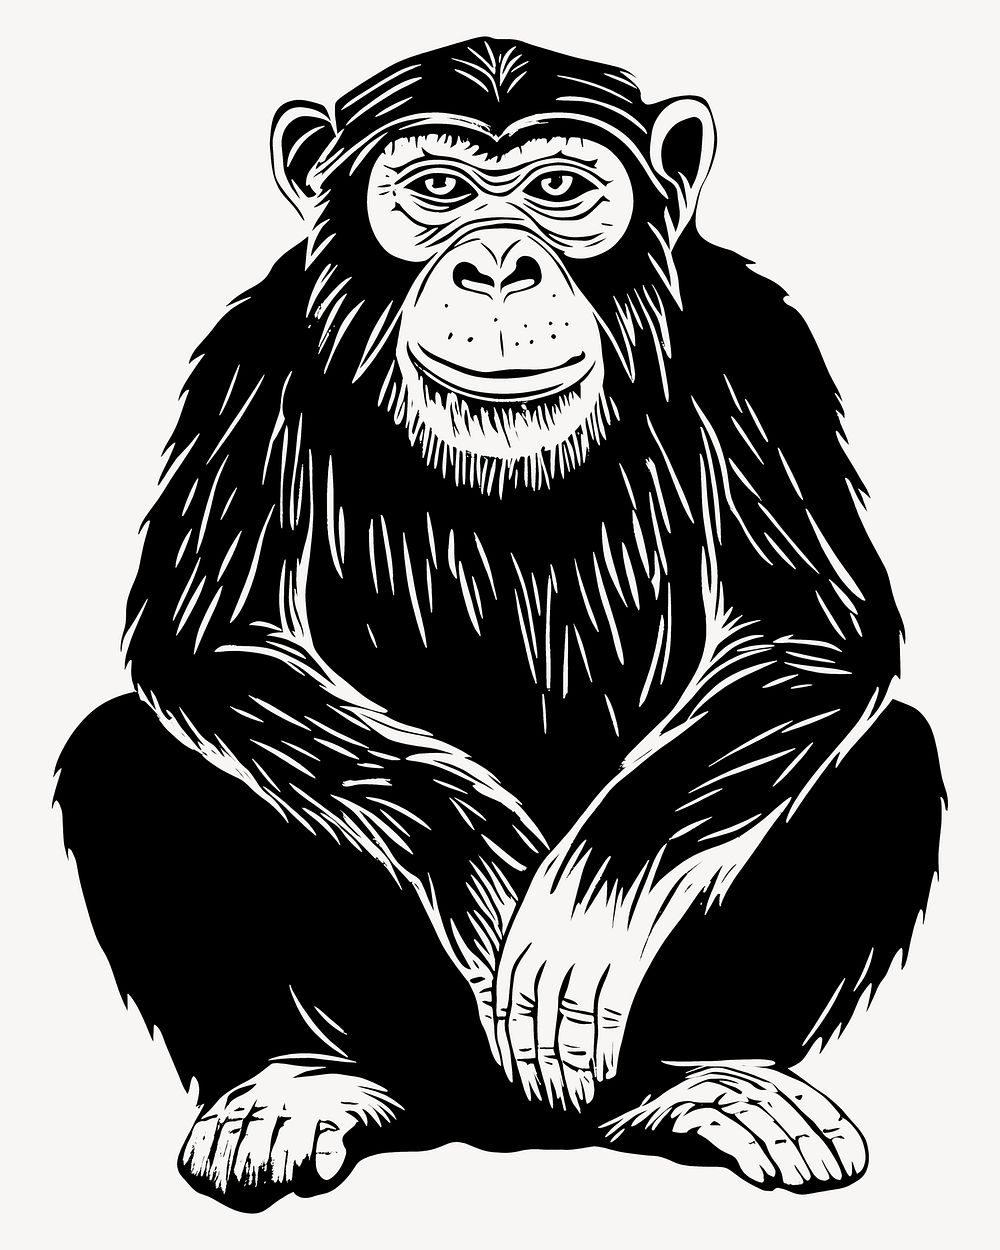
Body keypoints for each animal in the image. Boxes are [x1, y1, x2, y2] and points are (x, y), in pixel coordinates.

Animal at [55, 36, 944, 1210]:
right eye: (438, 191)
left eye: (559, 191)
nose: (497, 264)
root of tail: (512, 1129)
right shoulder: (249, 359)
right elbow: (215, 634)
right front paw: (477, 862)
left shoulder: (761, 349)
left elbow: (803, 628)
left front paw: (582, 910)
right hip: (410, 1034)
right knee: (121, 749)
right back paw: (297, 1083)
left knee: (891, 746)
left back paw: (713, 1081)